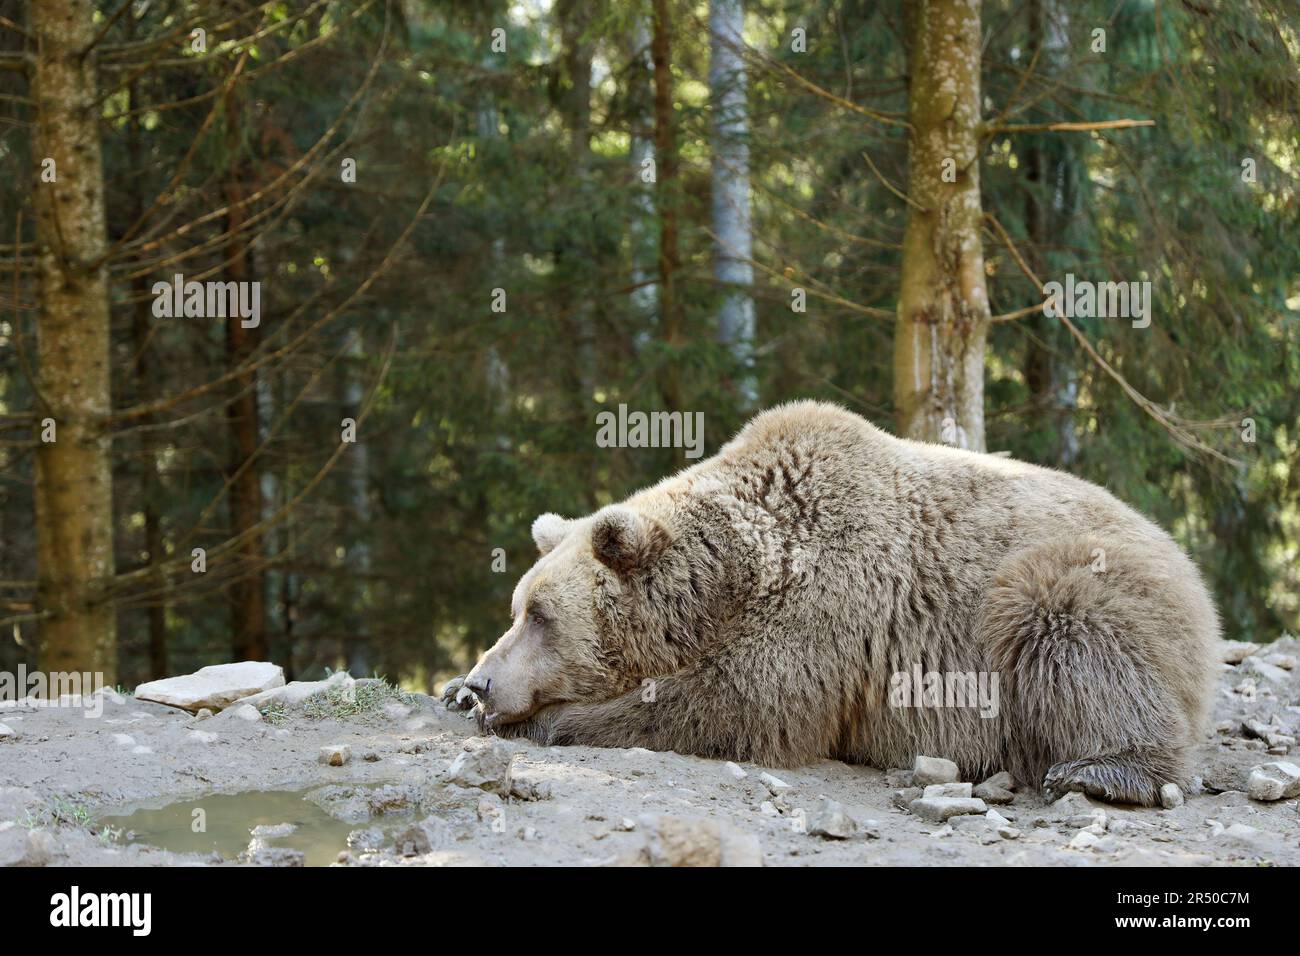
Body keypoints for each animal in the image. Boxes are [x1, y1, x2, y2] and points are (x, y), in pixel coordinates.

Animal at [443, 401, 1219, 805]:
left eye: (542, 616)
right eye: (517, 607)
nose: (483, 682)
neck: (732, 575)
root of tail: (1186, 562)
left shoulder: (830, 611)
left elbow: (737, 705)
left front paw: (552, 721)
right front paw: (452, 691)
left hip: (1077, 579)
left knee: (1064, 623)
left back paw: (1103, 770)